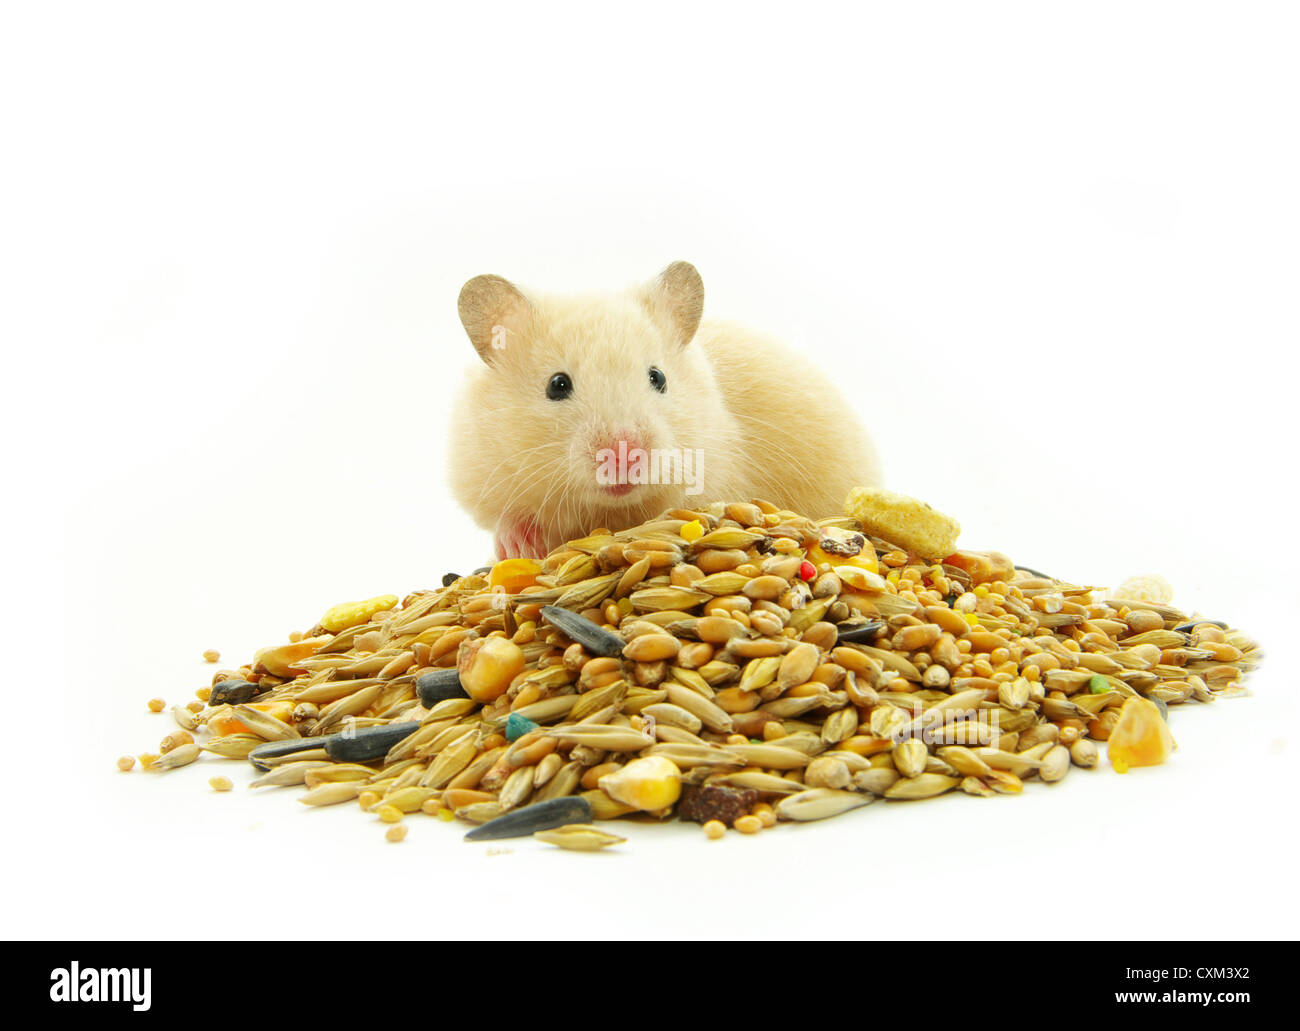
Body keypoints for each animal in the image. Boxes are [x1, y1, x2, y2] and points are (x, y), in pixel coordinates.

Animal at [448, 262, 882, 560]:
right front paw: (518, 548)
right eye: (557, 385)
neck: (607, 508)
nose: (624, 456)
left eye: (658, 377)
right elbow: (507, 518)